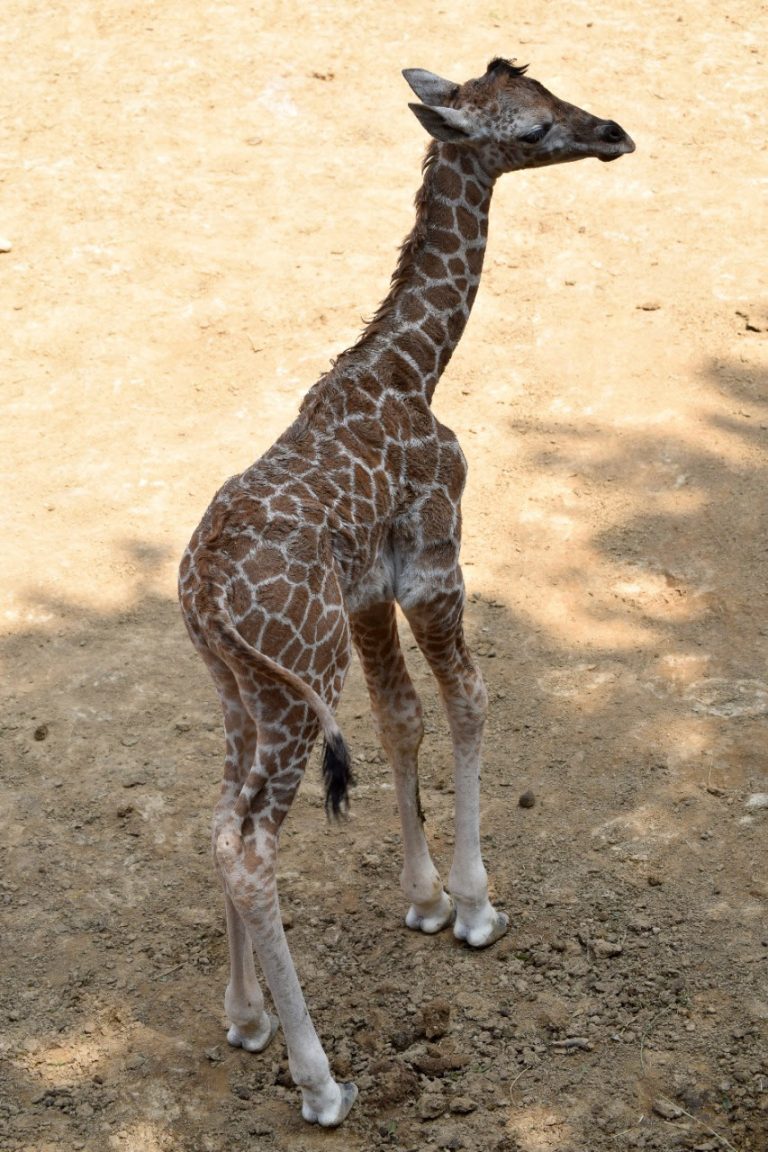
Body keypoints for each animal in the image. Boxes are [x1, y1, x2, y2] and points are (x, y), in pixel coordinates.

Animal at [178, 57, 634, 1127]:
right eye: (534, 126)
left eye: (551, 97)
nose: (614, 133)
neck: (412, 368)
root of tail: (203, 599)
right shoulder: (436, 560)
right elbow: (468, 702)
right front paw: (474, 906)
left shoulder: (367, 594)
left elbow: (402, 720)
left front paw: (424, 899)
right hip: (298, 689)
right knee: (252, 848)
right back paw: (320, 1080)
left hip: (242, 692)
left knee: (219, 824)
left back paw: (246, 1019)